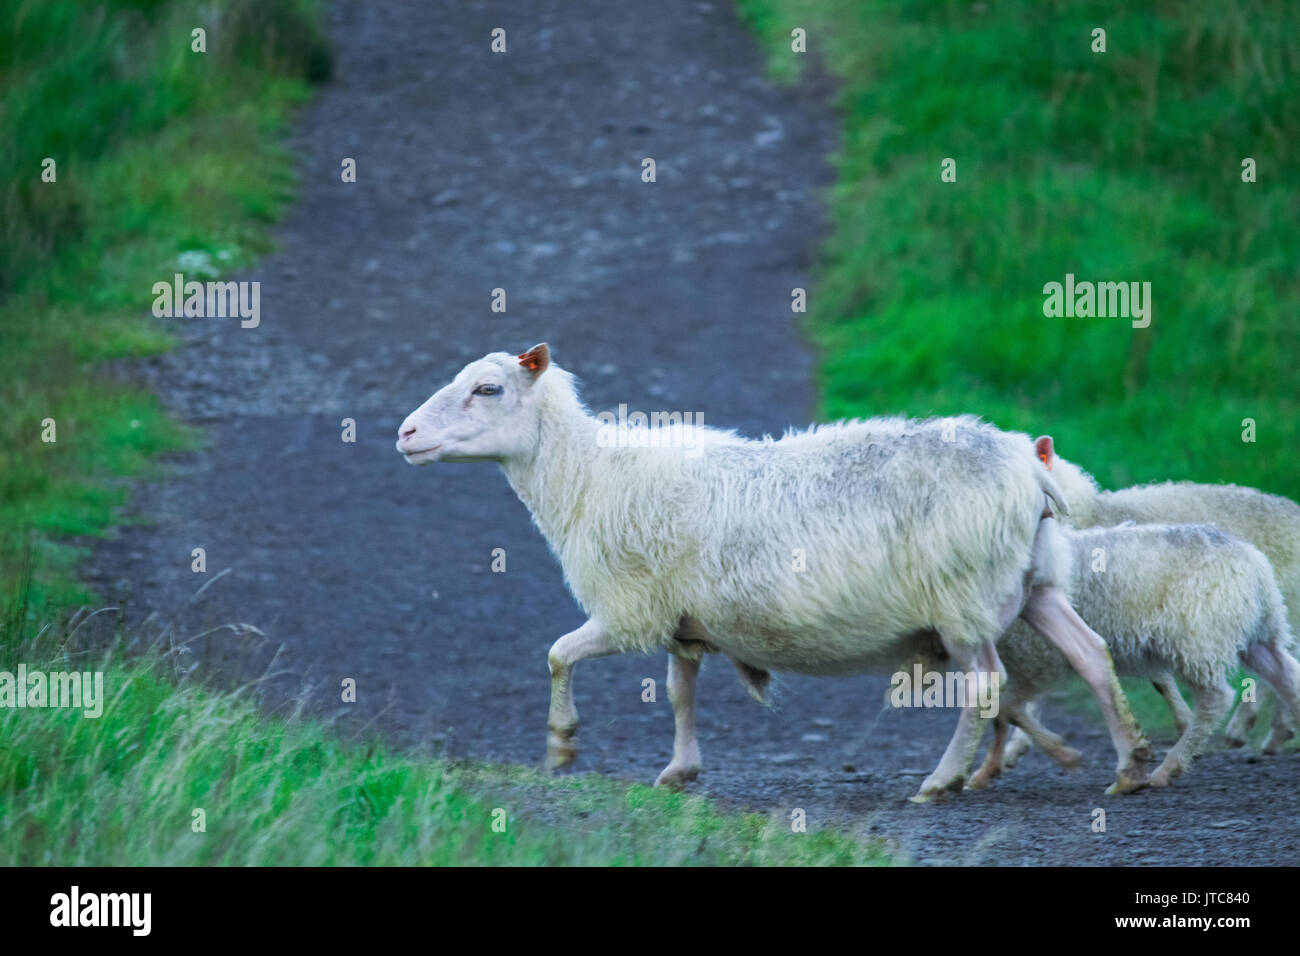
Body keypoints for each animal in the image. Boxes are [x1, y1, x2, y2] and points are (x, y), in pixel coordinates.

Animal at [395, 344, 1154, 798]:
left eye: (487, 388)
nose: (404, 433)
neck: (585, 477)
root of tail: (1030, 468)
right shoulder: (682, 621)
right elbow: (680, 694)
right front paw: (679, 769)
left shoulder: (630, 612)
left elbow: (557, 654)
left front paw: (560, 746)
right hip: (1038, 586)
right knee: (1090, 654)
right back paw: (1128, 766)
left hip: (963, 602)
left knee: (987, 688)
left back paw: (941, 781)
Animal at [950, 522, 1300, 789]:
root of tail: (1251, 560)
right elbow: (999, 714)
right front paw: (986, 770)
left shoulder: (1036, 660)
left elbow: (1007, 709)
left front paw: (1061, 753)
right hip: (1260, 633)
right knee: (1287, 676)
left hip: (1198, 639)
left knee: (1215, 700)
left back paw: (1169, 768)